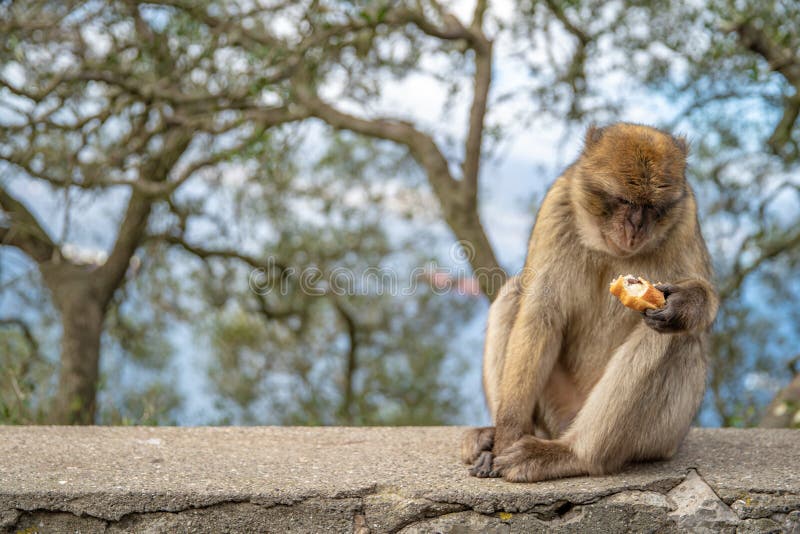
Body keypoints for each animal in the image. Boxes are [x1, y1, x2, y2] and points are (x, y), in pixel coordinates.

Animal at [461, 123, 718, 482]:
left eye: (653, 208)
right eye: (624, 200)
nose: (635, 227)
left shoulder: (685, 217)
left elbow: (705, 299)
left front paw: (683, 304)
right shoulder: (558, 207)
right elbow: (541, 314)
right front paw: (507, 434)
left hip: (662, 437)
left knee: (674, 336)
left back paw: (573, 454)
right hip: (555, 408)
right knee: (513, 293)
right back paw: (494, 436)